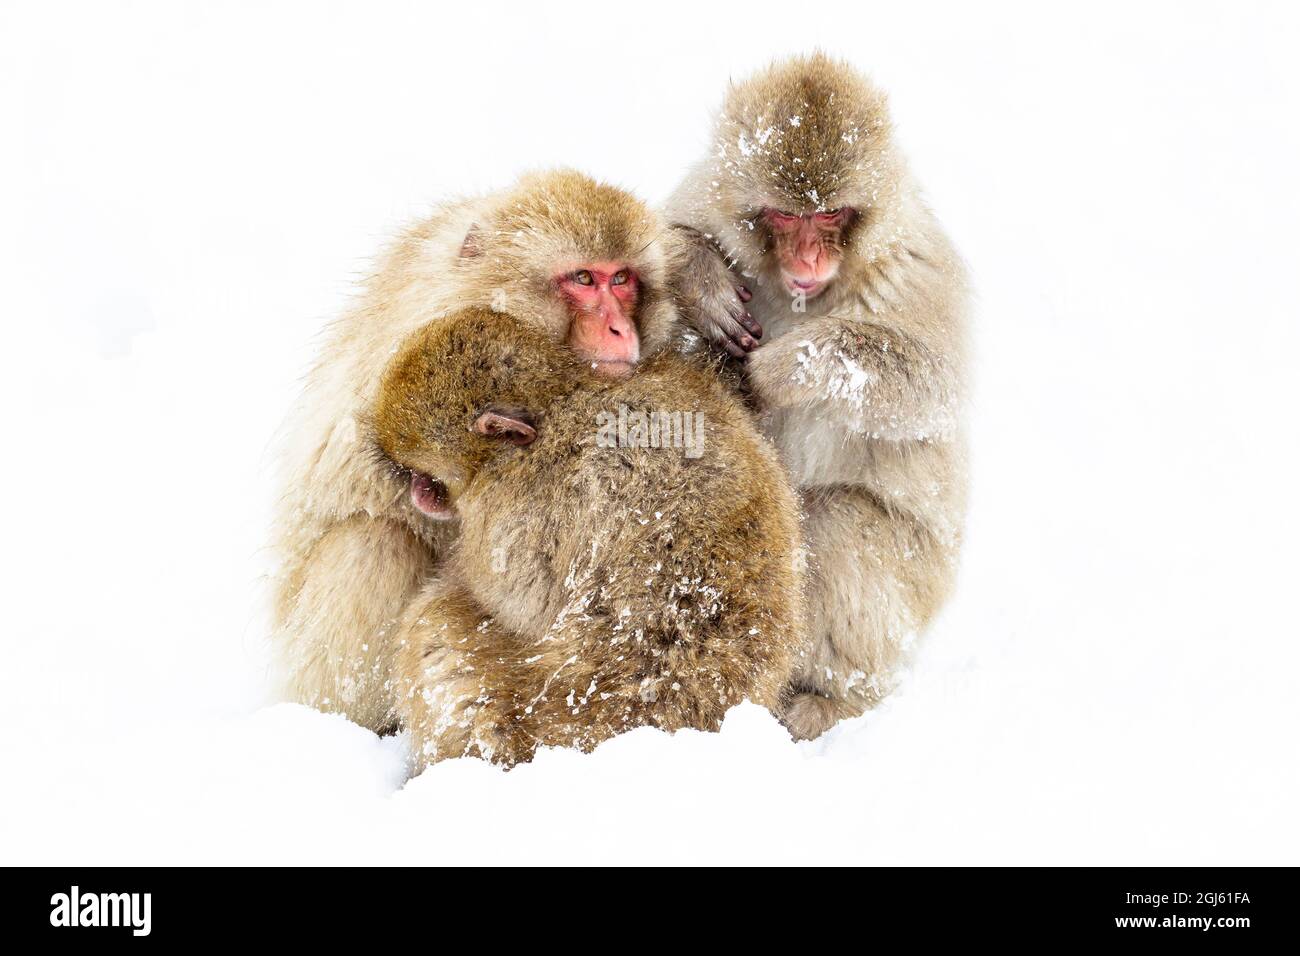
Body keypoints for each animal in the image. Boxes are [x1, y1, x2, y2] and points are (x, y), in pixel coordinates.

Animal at [373, 306, 805, 769]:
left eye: (424, 473)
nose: (417, 491)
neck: (558, 403)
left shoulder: (524, 505)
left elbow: (522, 601)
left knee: (431, 627)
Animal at [664, 53, 970, 740]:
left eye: (829, 216)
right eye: (786, 217)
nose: (807, 258)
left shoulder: (914, 262)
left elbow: (929, 387)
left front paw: (782, 368)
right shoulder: (708, 195)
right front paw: (698, 276)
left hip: (919, 585)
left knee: (833, 525)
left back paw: (830, 701)